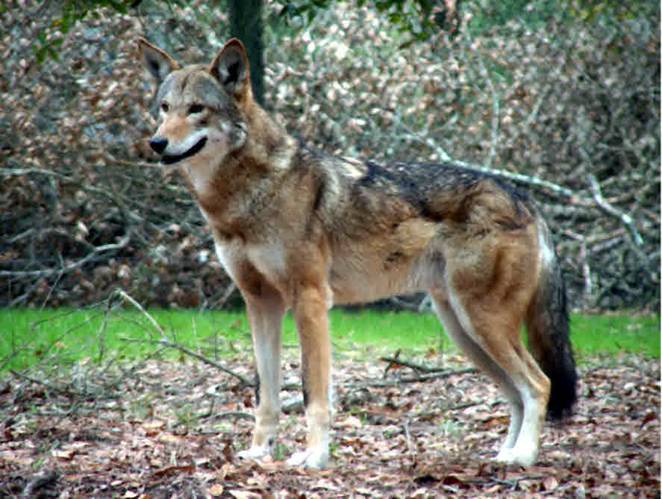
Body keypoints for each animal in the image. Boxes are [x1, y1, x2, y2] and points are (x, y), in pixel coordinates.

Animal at [137, 37, 577, 469]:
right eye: (164, 108)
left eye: (197, 109)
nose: (156, 142)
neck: (245, 198)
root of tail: (524, 197)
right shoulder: (260, 303)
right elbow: (267, 396)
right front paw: (259, 452)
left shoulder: (310, 300)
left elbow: (313, 393)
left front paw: (314, 457)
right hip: (464, 329)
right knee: (516, 392)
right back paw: (506, 454)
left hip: (481, 323)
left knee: (539, 384)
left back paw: (524, 456)